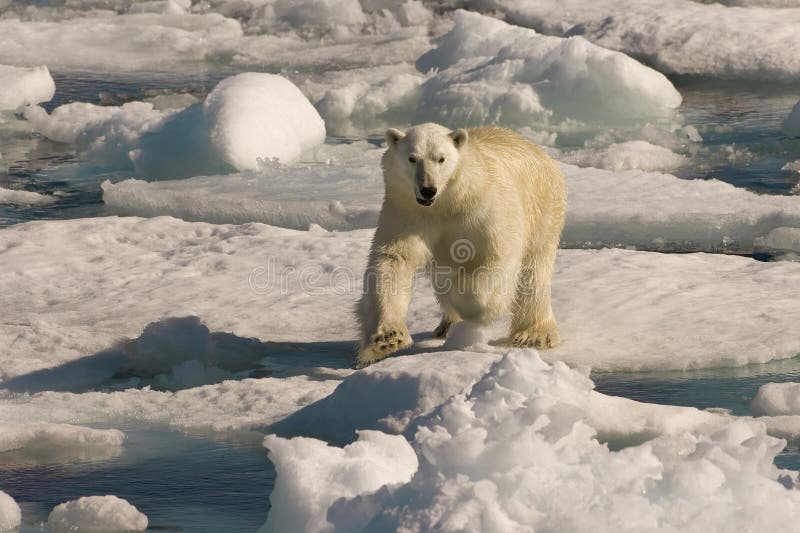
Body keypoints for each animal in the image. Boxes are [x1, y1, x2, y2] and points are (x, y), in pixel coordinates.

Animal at [355, 122, 567, 367]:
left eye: (441, 158)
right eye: (412, 158)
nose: (427, 189)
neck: (445, 202)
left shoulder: (483, 209)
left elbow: (496, 256)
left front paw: (471, 306)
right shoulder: (407, 212)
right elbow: (394, 261)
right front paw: (387, 340)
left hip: (544, 207)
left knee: (534, 271)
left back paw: (534, 335)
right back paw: (445, 325)